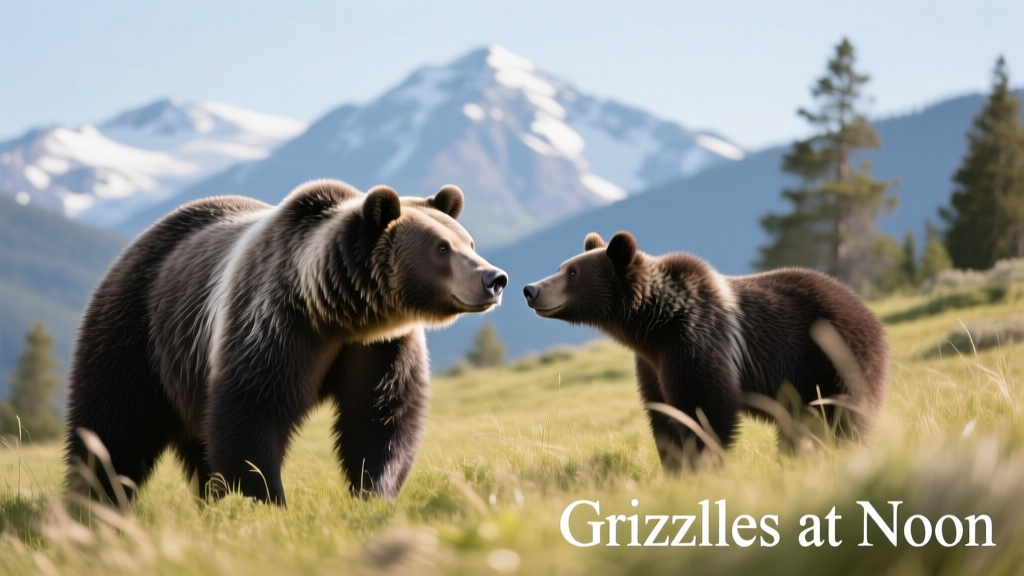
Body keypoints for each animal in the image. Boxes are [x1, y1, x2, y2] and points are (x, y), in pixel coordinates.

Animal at [65, 180, 508, 505]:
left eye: (469, 242)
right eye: (441, 248)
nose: (495, 278)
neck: (342, 313)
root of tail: (131, 249)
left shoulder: (381, 347)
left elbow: (382, 416)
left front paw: (372, 493)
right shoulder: (277, 325)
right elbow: (252, 412)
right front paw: (266, 499)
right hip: (136, 335)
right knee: (112, 427)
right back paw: (94, 504)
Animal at [523, 231, 889, 472]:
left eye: (572, 272)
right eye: (562, 266)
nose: (531, 289)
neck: (654, 324)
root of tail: (864, 308)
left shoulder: (697, 340)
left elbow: (704, 406)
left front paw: (701, 464)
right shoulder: (652, 362)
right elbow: (662, 413)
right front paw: (674, 466)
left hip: (832, 356)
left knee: (842, 413)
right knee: (803, 423)